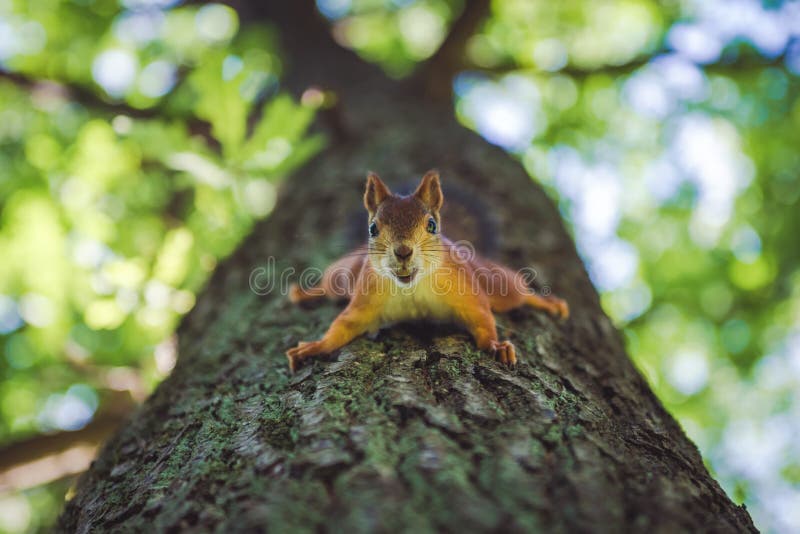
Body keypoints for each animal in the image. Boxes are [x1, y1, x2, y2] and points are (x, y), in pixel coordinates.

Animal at [286, 170, 569, 372]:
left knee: (519, 292)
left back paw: (549, 303)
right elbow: (344, 325)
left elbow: (482, 318)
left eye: (431, 225)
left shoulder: (466, 290)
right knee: (328, 286)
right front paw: (313, 347)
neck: (413, 285)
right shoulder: (365, 297)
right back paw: (305, 293)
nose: (403, 252)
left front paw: (496, 345)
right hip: (343, 274)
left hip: (495, 281)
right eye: (373, 228)